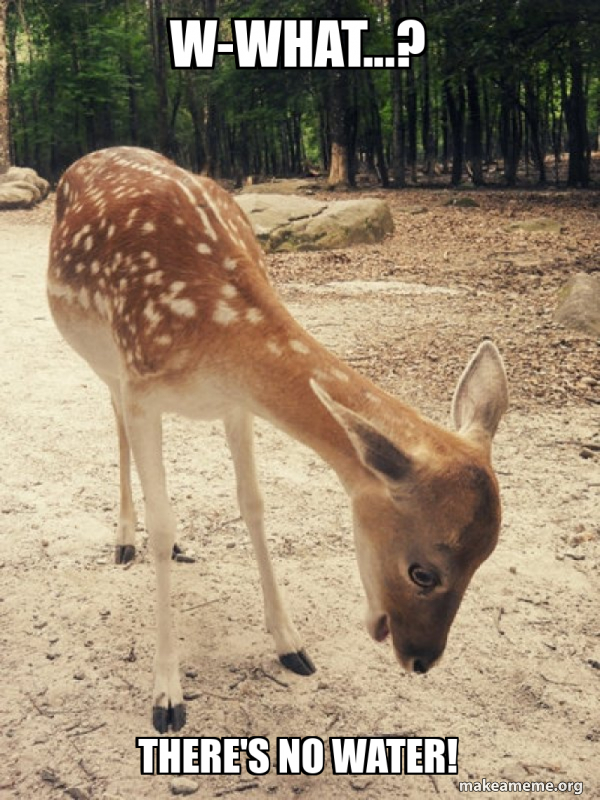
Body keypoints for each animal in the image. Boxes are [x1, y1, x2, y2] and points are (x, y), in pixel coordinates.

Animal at [47, 147, 508, 734]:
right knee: (116, 425)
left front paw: (291, 645)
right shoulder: (140, 388)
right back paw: (125, 539)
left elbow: (254, 504)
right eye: (422, 571)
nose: (421, 659)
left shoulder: (237, 404)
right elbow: (163, 518)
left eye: (485, 559)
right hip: (104, 362)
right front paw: (167, 695)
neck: (213, 332)